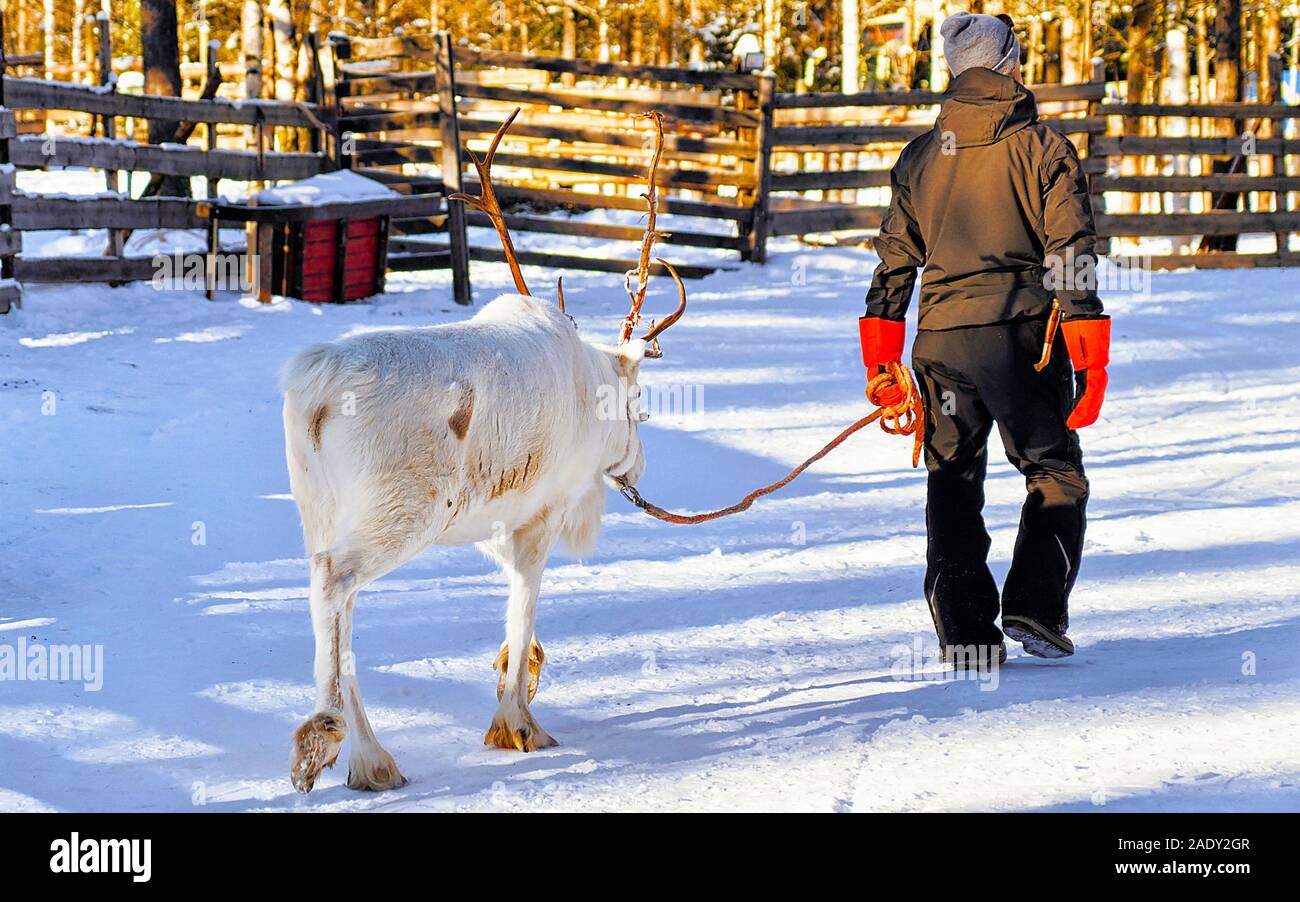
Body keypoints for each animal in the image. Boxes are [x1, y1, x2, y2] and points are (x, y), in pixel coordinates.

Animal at [279, 109, 686, 793]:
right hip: (399, 515)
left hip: (317, 508)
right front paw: (519, 724)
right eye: (640, 404)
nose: (639, 466)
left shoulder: (496, 522)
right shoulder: (542, 512)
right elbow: (523, 611)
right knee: (337, 581)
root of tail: (314, 388)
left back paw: (373, 759)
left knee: (332, 594)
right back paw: (327, 737)